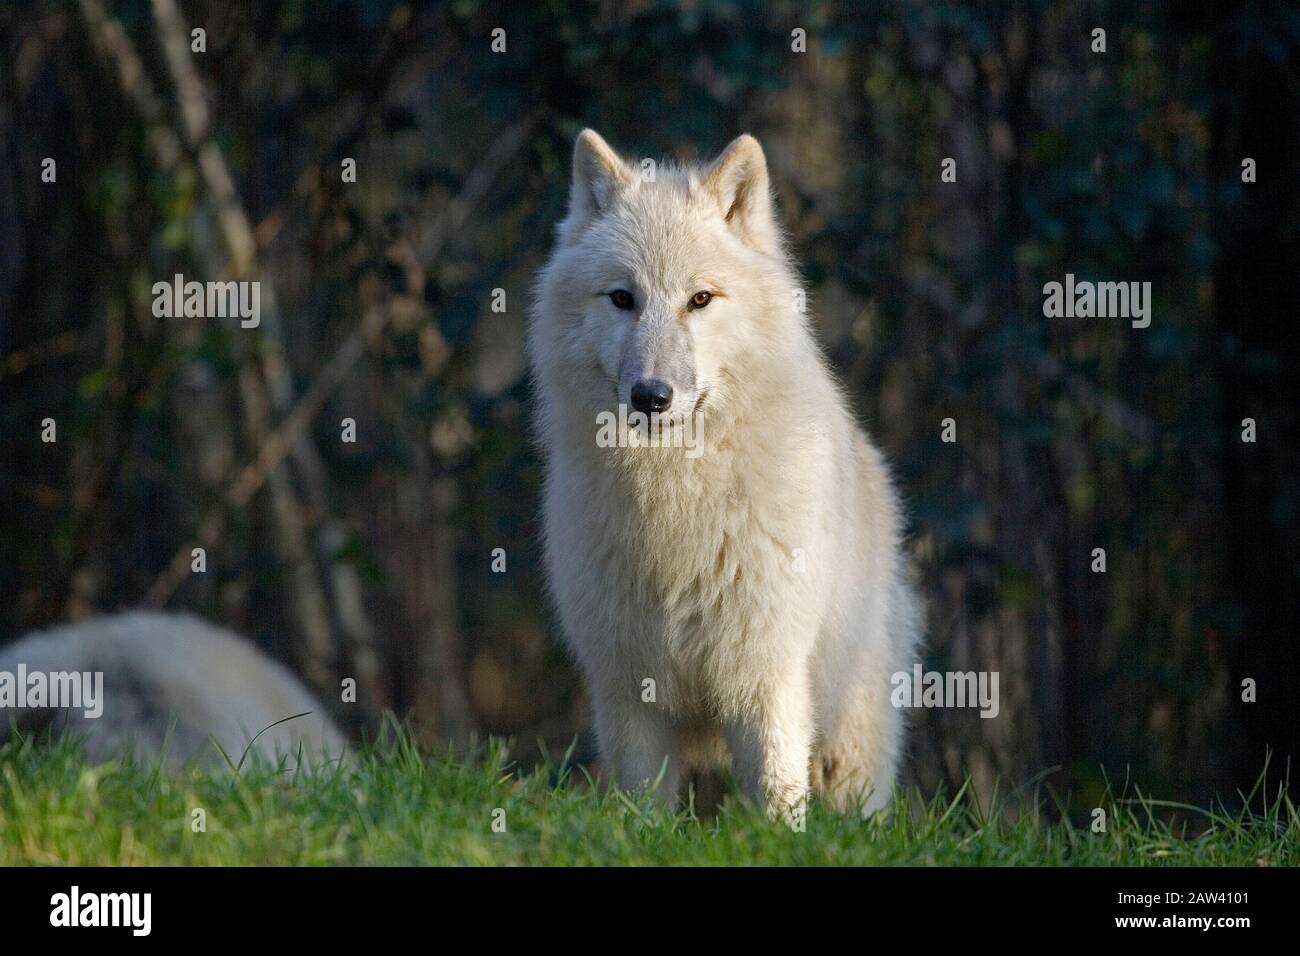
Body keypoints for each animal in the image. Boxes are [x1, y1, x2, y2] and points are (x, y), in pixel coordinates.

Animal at [528, 129, 923, 817]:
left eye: (701, 299)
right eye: (623, 298)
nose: (651, 396)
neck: (673, 501)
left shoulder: (765, 672)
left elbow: (777, 795)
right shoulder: (628, 687)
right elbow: (643, 803)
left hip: (849, 746)